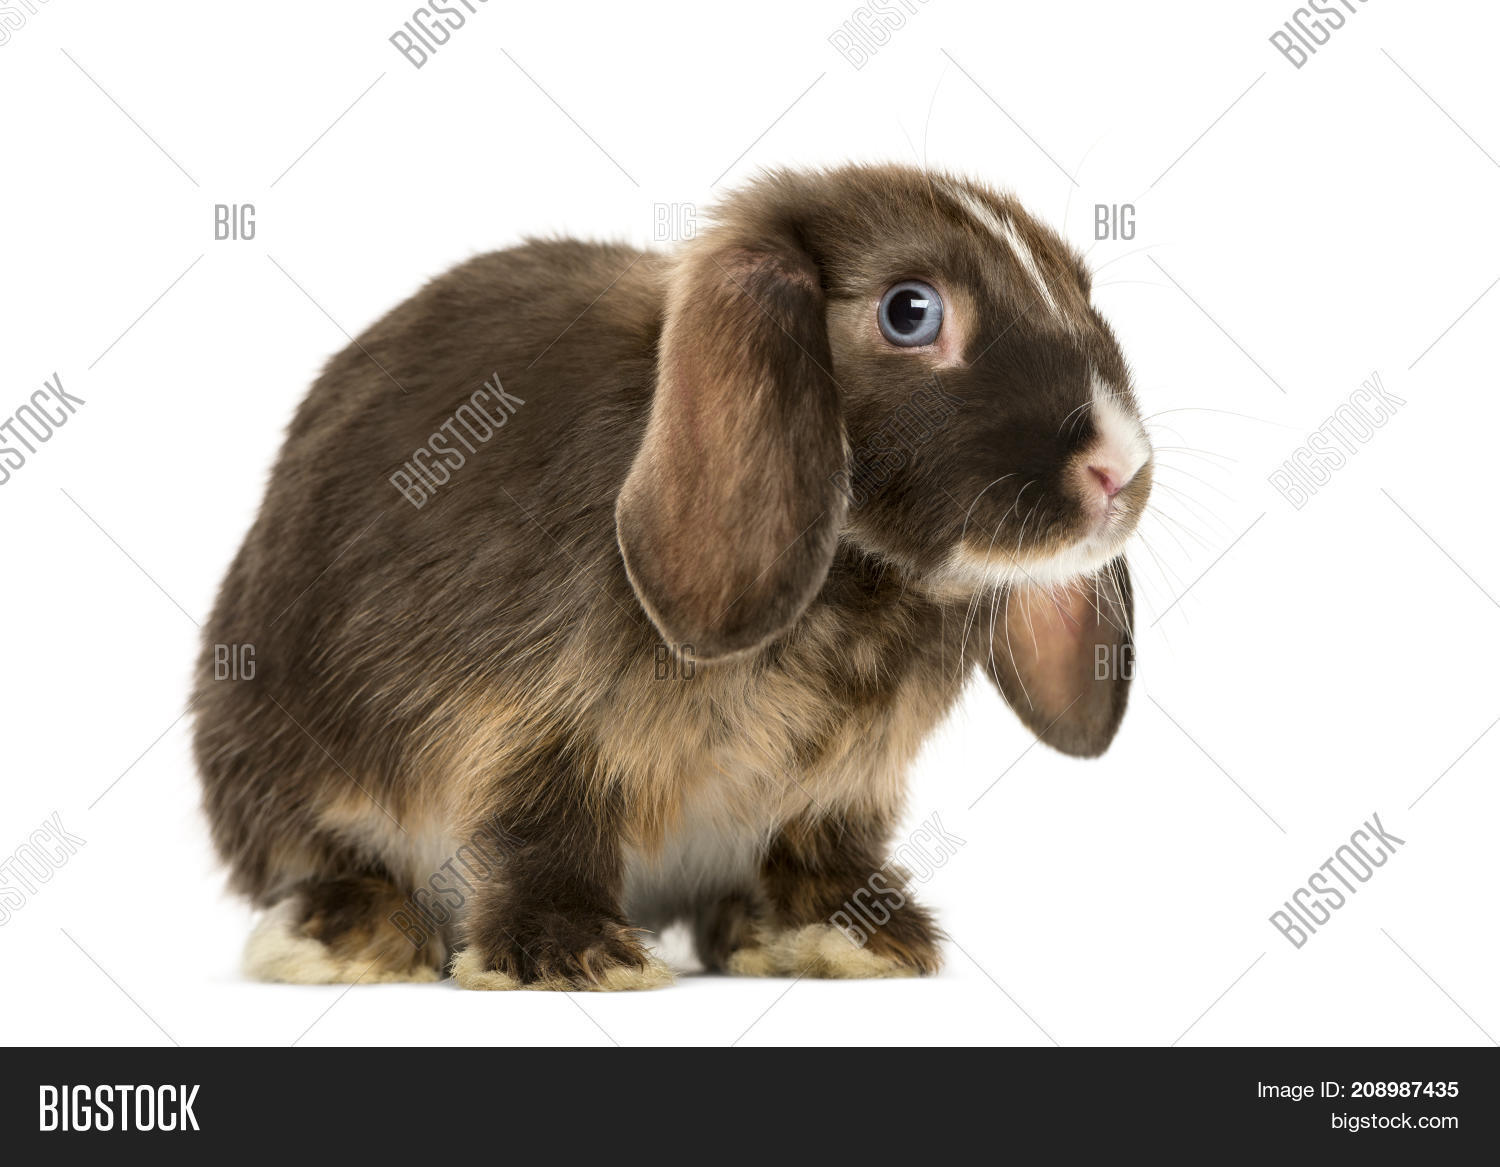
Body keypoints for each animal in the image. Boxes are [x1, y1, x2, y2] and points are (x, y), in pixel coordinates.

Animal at [192, 163, 1151, 990]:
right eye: (909, 311)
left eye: (1080, 289)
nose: (1120, 468)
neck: (855, 585)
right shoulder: (534, 725)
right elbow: (538, 831)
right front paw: (574, 955)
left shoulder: (842, 786)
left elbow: (820, 849)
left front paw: (857, 938)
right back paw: (349, 936)